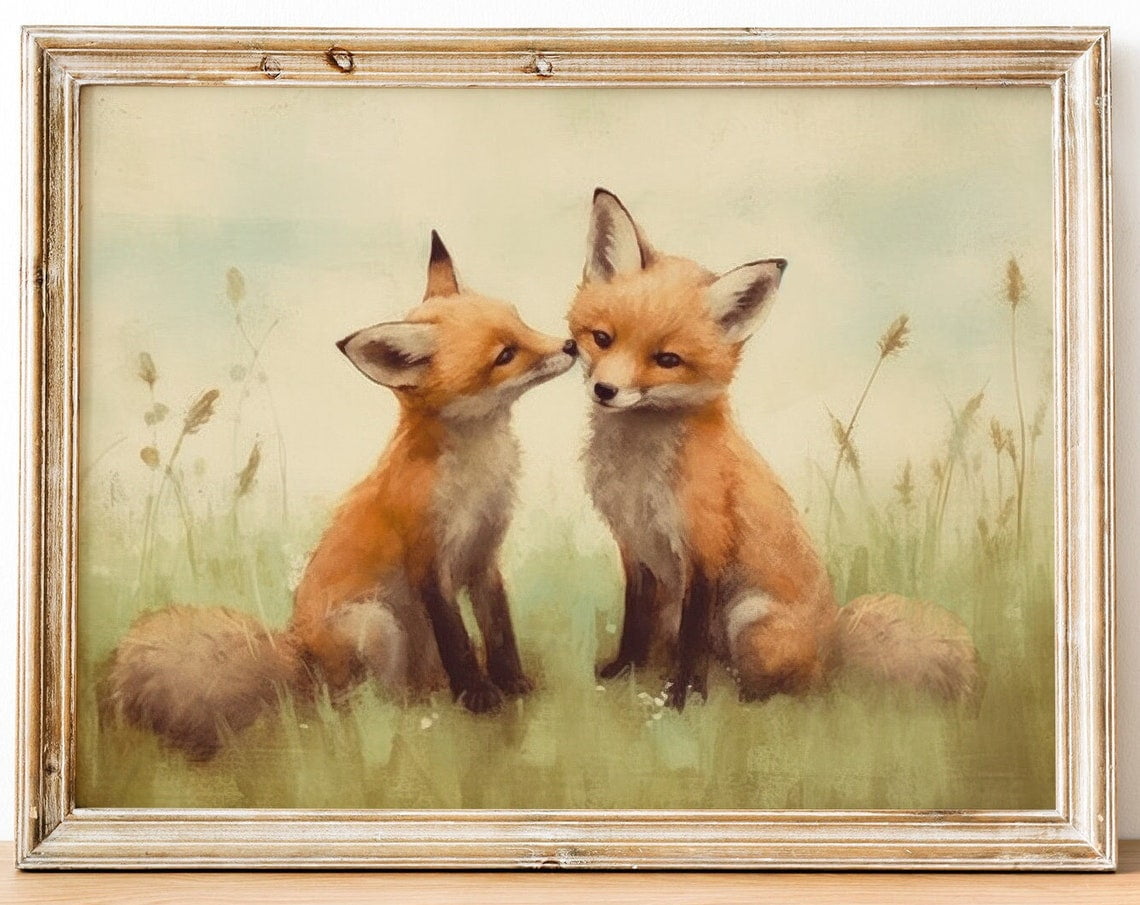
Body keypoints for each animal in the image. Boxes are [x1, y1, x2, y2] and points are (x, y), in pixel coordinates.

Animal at [102, 231, 578, 758]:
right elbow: (457, 640)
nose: (572, 344)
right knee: (362, 708)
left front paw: (514, 686)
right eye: (505, 355)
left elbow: (499, 632)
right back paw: (417, 712)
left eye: (520, 319)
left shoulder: (485, 555)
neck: (477, 477)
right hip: (376, 625)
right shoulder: (429, 563)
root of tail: (299, 658)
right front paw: (480, 698)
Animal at [568, 188, 981, 710]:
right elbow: (633, 624)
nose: (605, 390)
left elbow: (691, 640)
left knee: (787, 692)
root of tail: (833, 651)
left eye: (667, 360)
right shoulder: (634, 548)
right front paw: (623, 673)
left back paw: (739, 697)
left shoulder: (705, 549)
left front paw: (682, 701)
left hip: (749, 622)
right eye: (602, 338)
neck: (637, 476)